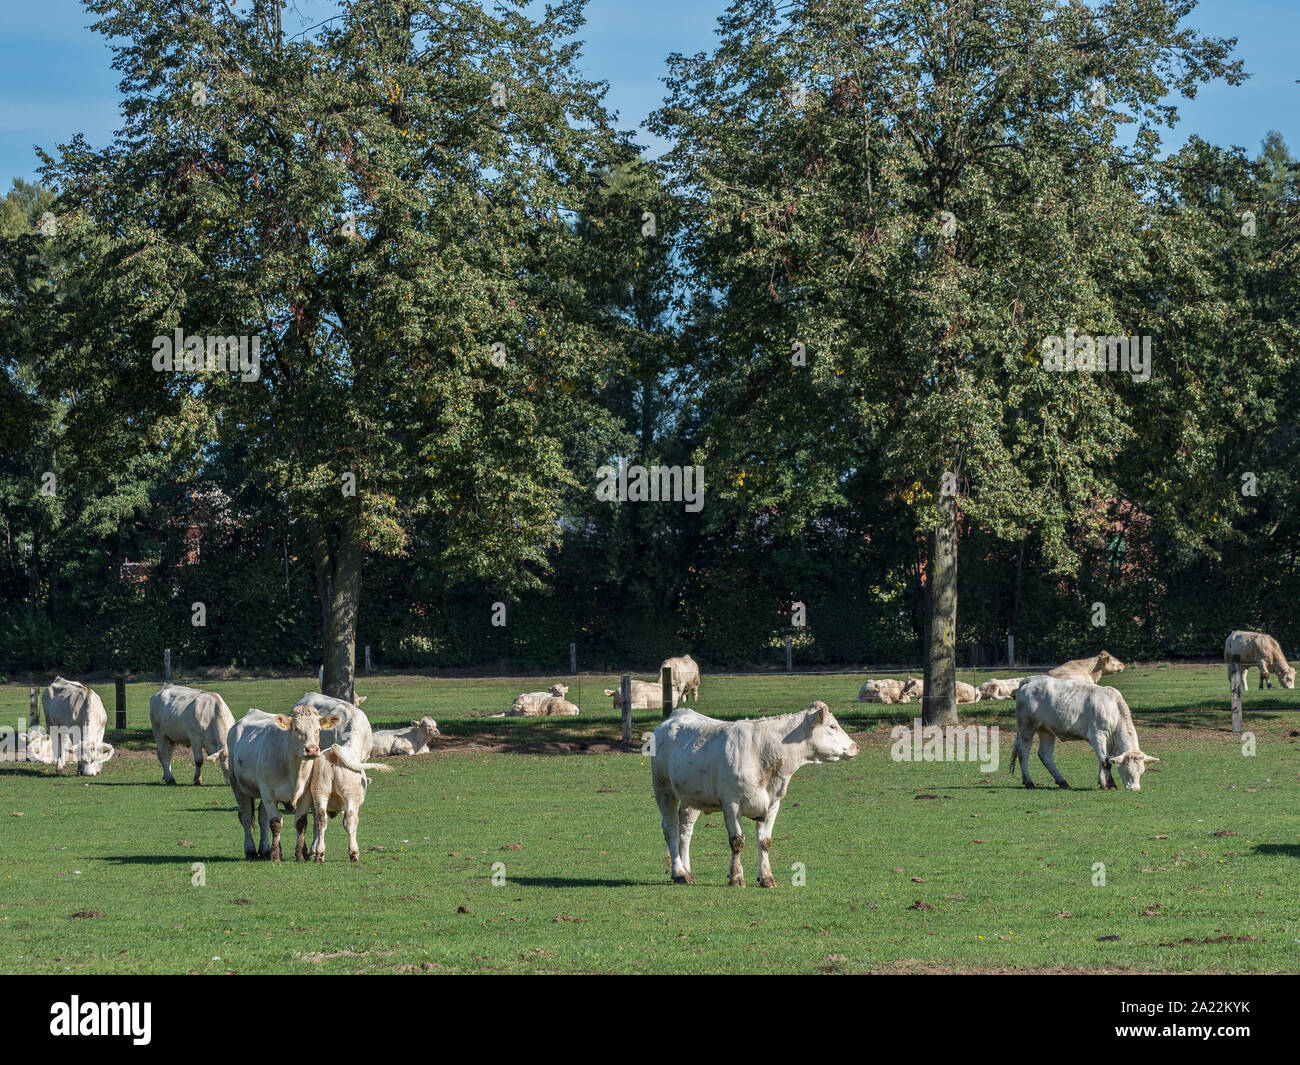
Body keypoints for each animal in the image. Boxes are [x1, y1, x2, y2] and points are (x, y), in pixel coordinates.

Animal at [227, 705, 341, 861]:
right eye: (296, 729)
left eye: (318, 729)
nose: (311, 749)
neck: (294, 770)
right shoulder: (268, 793)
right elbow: (276, 823)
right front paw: (275, 855)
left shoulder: (305, 795)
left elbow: (300, 822)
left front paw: (300, 854)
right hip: (237, 786)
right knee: (245, 816)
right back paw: (251, 850)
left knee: (262, 816)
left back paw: (264, 849)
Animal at [650, 701, 859, 888]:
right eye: (832, 726)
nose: (856, 746)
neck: (764, 753)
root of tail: (674, 716)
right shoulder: (732, 803)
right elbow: (737, 841)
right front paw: (736, 877)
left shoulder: (773, 803)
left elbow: (765, 842)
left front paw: (766, 878)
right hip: (663, 788)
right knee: (670, 828)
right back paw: (679, 872)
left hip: (691, 797)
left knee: (685, 830)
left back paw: (687, 872)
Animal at [1010, 675, 1157, 790]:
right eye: (1127, 769)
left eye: (1142, 771)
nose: (1135, 788)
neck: (1114, 710)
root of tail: (1030, 679)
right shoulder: (1098, 735)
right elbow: (1105, 761)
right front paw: (1111, 784)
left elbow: (1102, 760)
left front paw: (1102, 783)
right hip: (1026, 727)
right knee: (1023, 753)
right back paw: (1029, 782)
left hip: (1046, 730)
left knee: (1045, 755)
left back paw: (1062, 782)